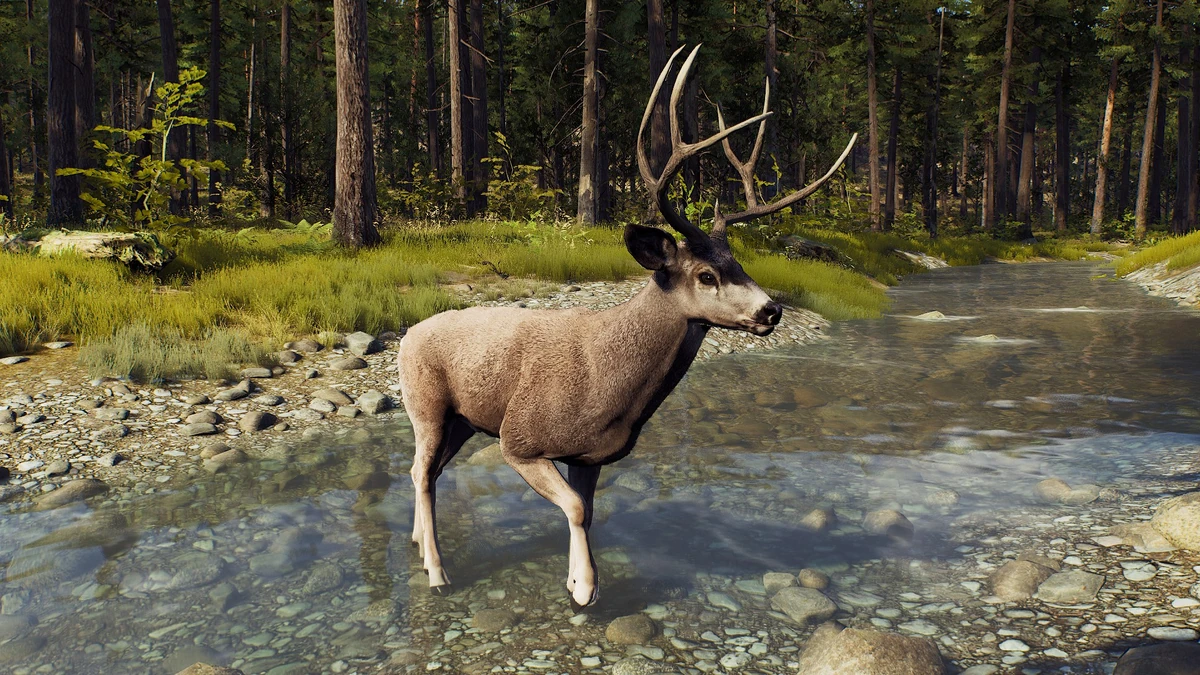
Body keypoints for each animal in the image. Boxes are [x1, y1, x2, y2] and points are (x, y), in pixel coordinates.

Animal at [396, 44, 856, 609]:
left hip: (463, 419)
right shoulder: (520, 437)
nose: (772, 311)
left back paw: (419, 543)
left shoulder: (588, 453)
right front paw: (583, 587)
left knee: (426, 471)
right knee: (421, 472)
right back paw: (437, 571)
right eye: (706, 274)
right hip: (427, 405)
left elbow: (588, 510)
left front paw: (581, 576)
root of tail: (406, 336)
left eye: (740, 263)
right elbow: (574, 508)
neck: (609, 385)